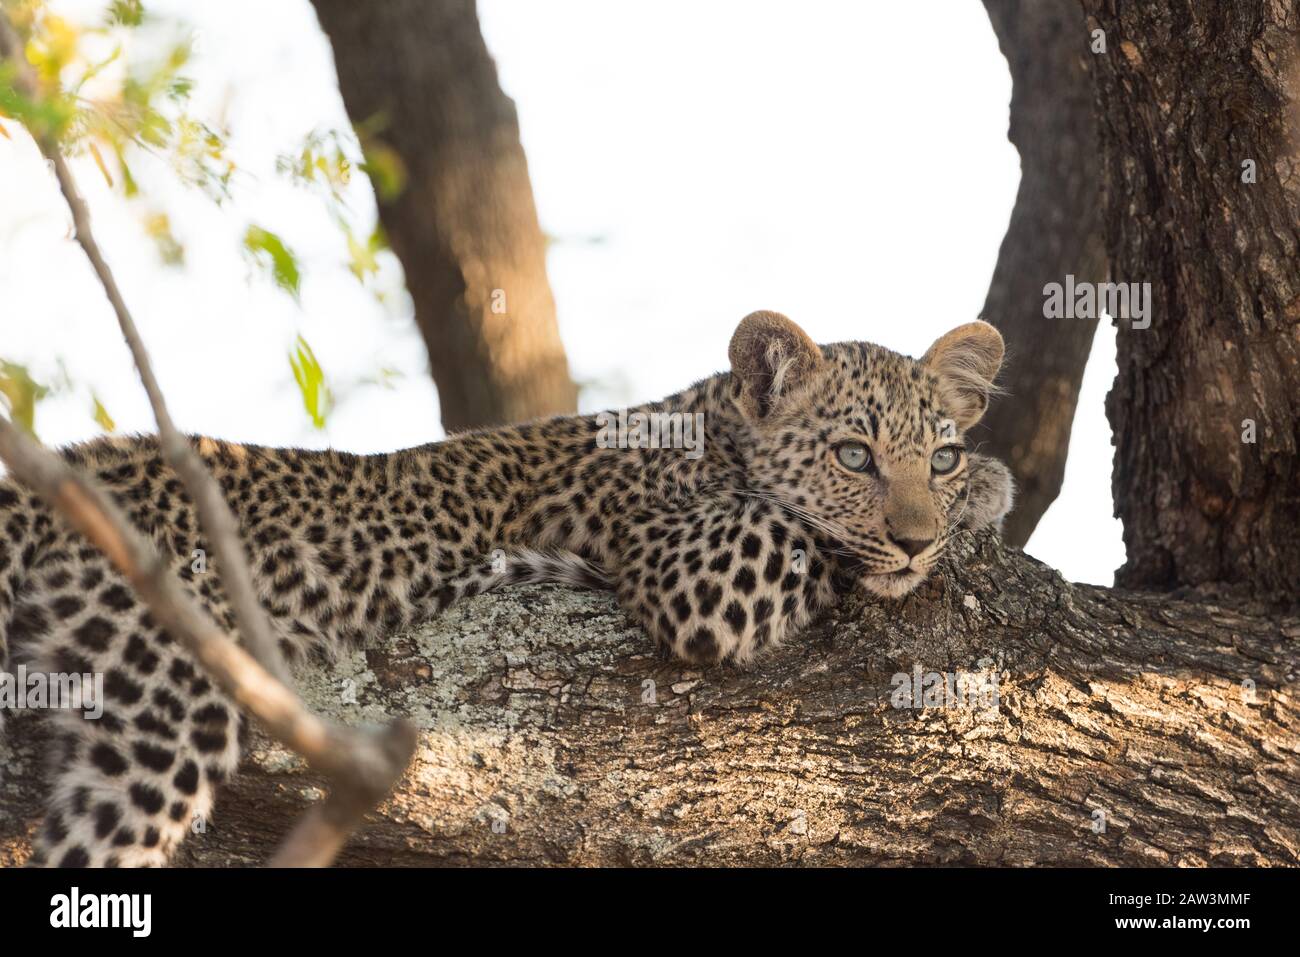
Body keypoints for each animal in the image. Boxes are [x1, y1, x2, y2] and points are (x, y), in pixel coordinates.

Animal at [0, 311, 1014, 867]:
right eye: (853, 455)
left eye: (938, 455)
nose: (916, 537)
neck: (713, 422)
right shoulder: (691, 561)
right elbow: (804, 524)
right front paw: (983, 499)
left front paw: (979, 488)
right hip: (169, 693)